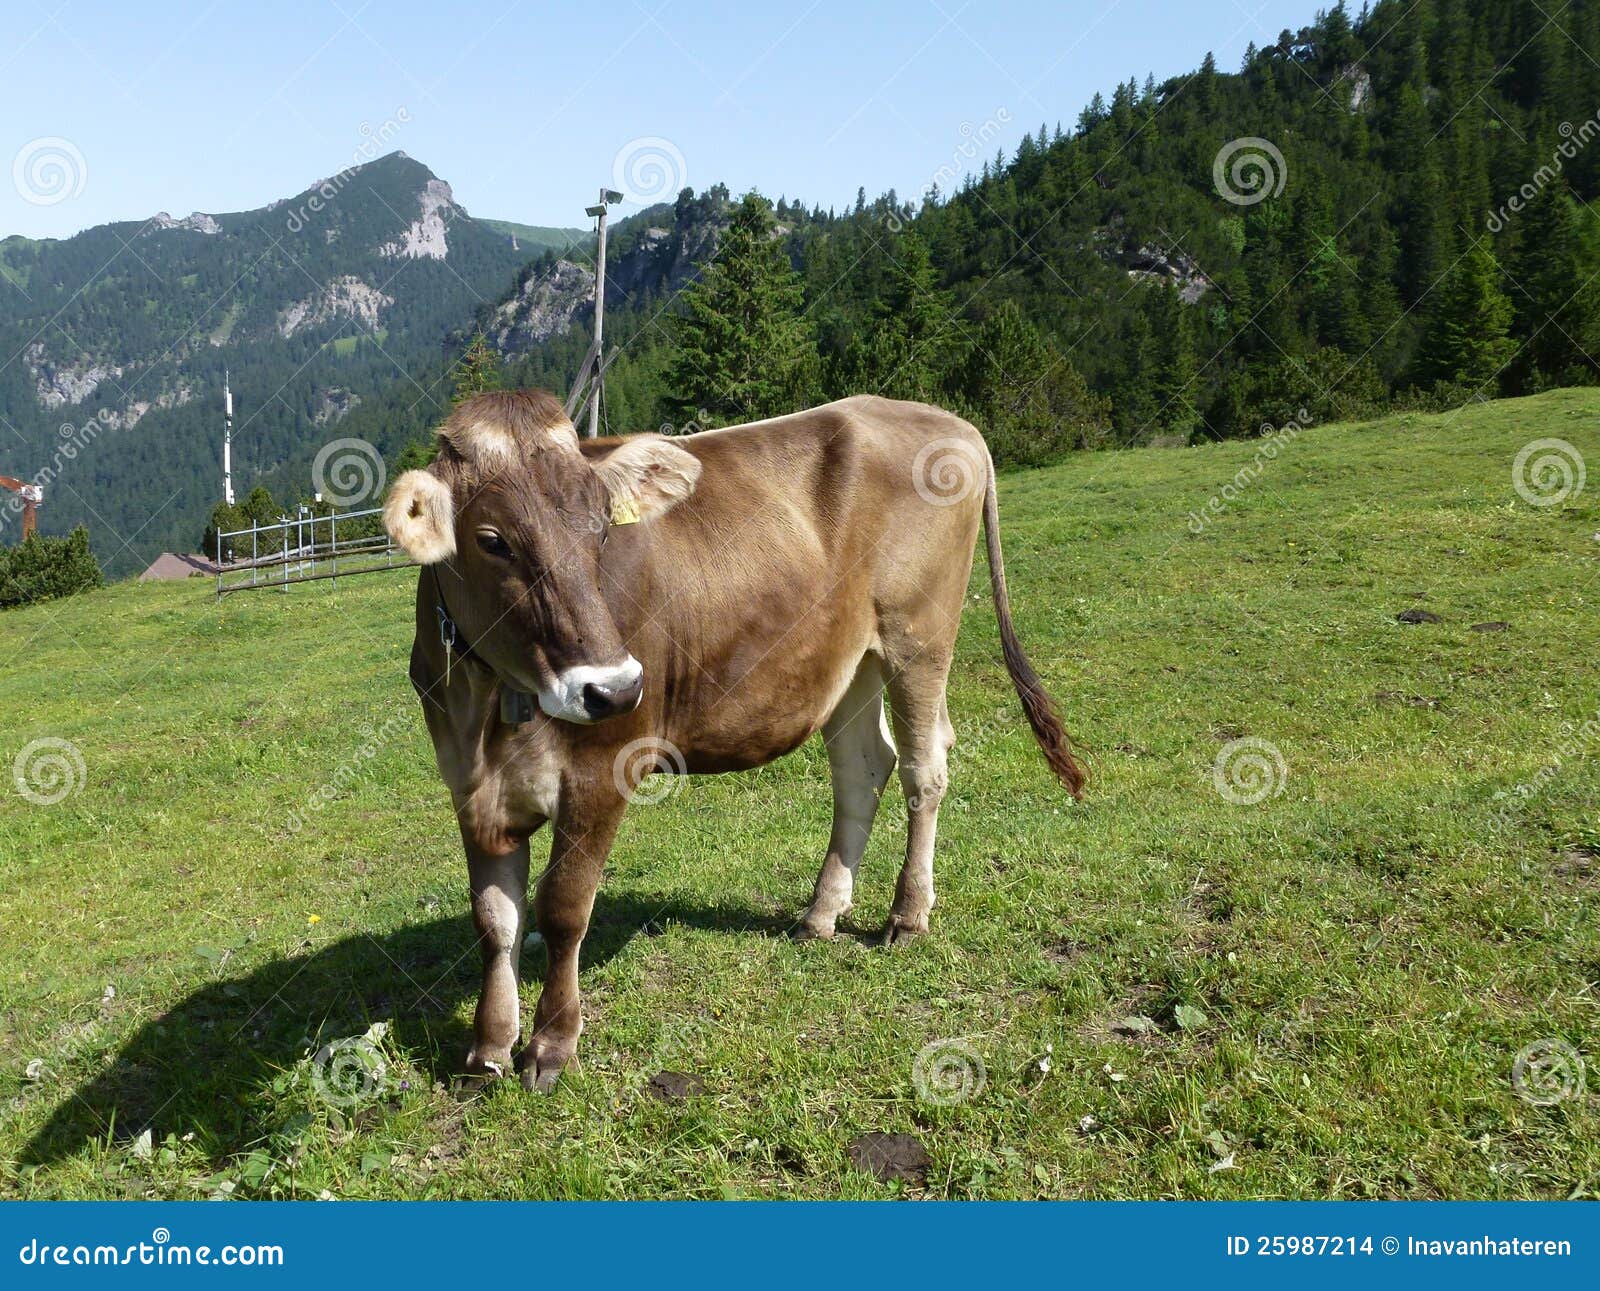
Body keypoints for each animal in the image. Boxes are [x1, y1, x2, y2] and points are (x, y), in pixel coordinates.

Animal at [382, 388, 1084, 1090]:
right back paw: (822, 913)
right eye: (491, 541)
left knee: (924, 766)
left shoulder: (602, 769)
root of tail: (942, 418)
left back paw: (907, 915)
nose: (613, 690)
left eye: (602, 527)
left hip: (919, 636)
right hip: (847, 658)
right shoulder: (468, 786)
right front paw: (489, 1046)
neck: (491, 713)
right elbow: (495, 920)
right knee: (863, 767)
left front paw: (552, 1045)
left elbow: (562, 908)